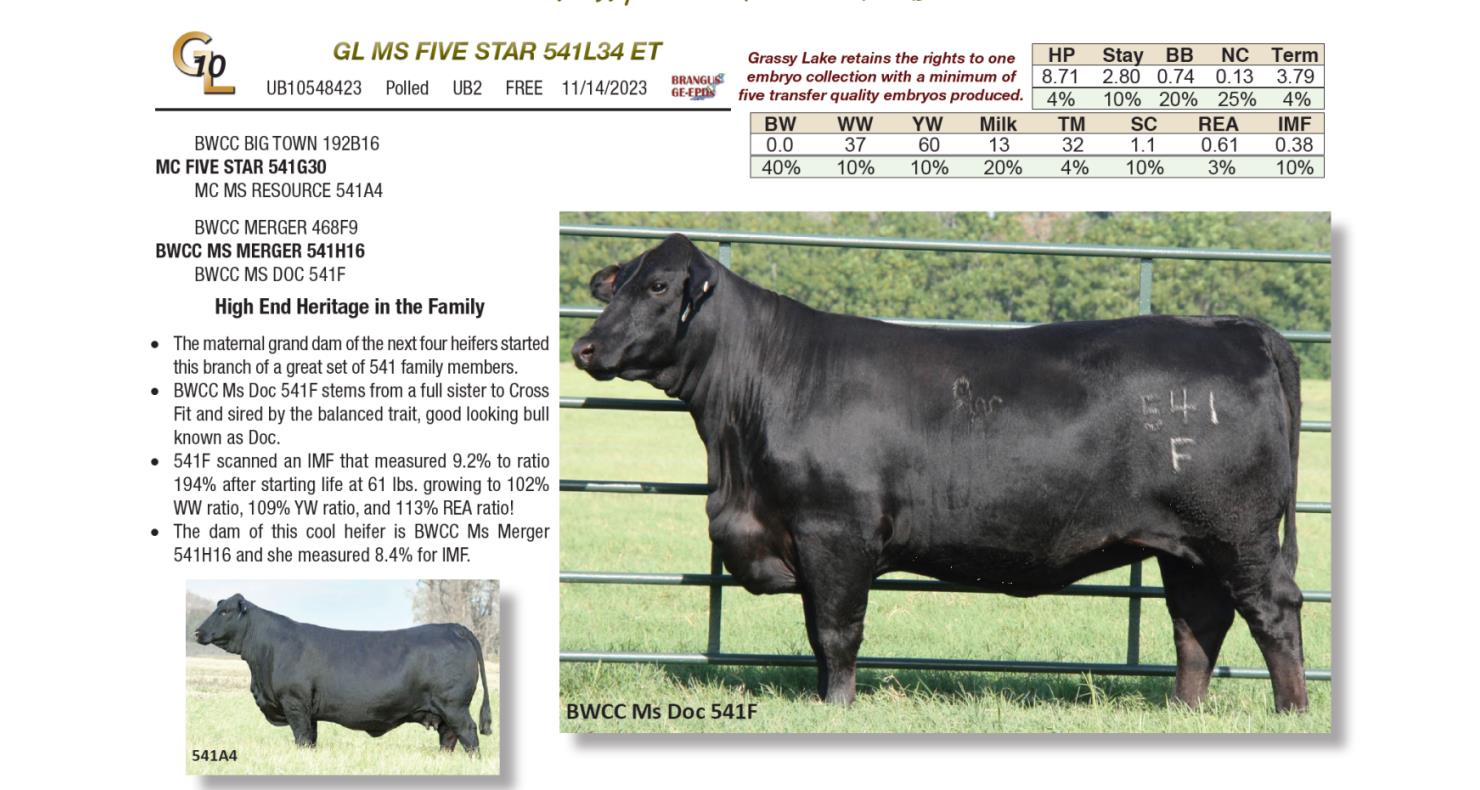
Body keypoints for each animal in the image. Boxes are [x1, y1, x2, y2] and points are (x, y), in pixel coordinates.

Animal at [193, 594, 494, 752]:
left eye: (225, 611)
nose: (196, 632)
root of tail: (455, 627)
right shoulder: (309, 710)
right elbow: (311, 739)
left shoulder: (294, 702)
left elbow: (301, 737)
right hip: (445, 710)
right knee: (448, 736)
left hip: (453, 704)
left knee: (467, 732)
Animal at [571, 233, 1308, 713]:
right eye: (616, 283)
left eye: (658, 286)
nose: (584, 346)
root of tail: (1231, 327)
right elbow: (818, 632)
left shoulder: (835, 531)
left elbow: (835, 631)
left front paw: (838, 707)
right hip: (1186, 545)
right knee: (1197, 623)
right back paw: (1184, 709)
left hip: (1238, 534)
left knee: (1273, 611)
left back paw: (1291, 710)